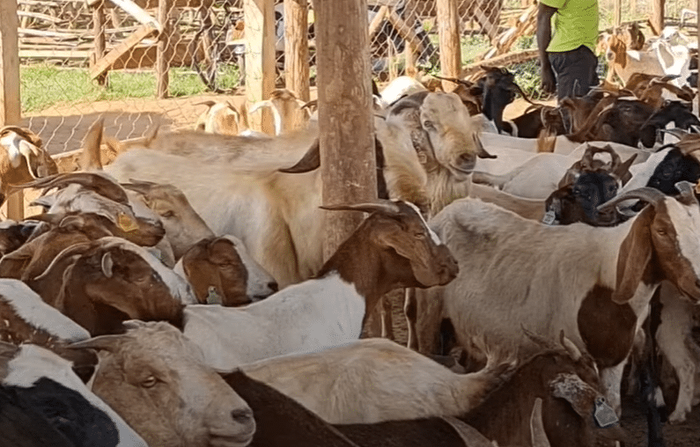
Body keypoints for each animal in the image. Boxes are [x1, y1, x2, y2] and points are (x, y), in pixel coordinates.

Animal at [414, 184, 700, 416]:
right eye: (662, 230)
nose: (698, 283)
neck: (608, 272)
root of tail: (449, 209)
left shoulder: (614, 360)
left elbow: (614, 408)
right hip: (429, 313)